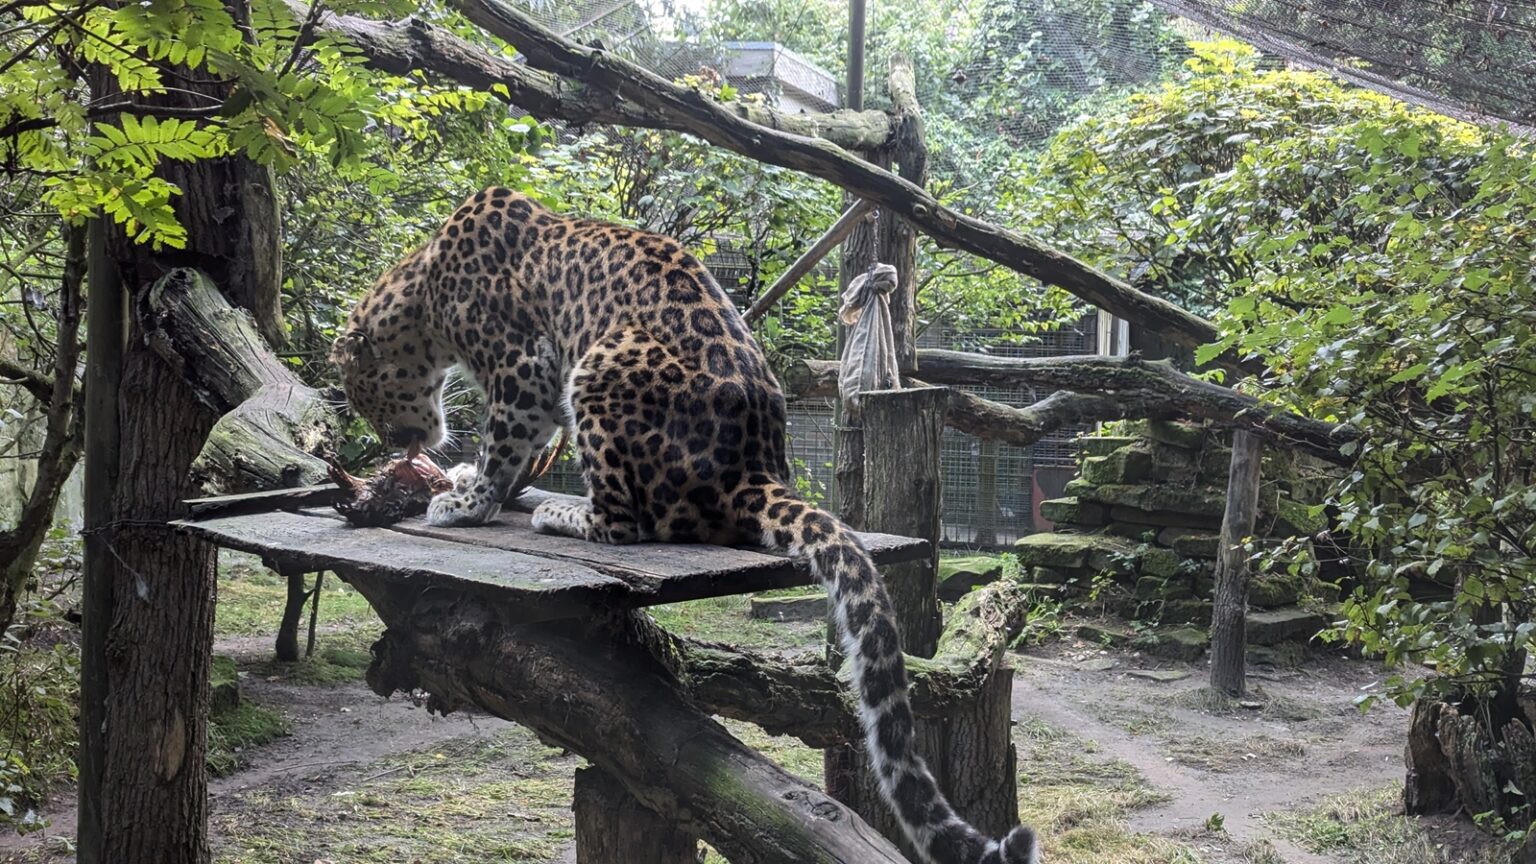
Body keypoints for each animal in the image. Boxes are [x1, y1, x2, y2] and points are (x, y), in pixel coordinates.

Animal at [330, 187, 1039, 864]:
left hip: (601, 364)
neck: (425, 293)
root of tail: (755, 470)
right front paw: (474, 484)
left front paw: (467, 499)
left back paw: (561, 513)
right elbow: (526, 449)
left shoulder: (523, 367)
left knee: (626, 523)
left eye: (366, 397)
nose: (395, 443)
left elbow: (504, 442)